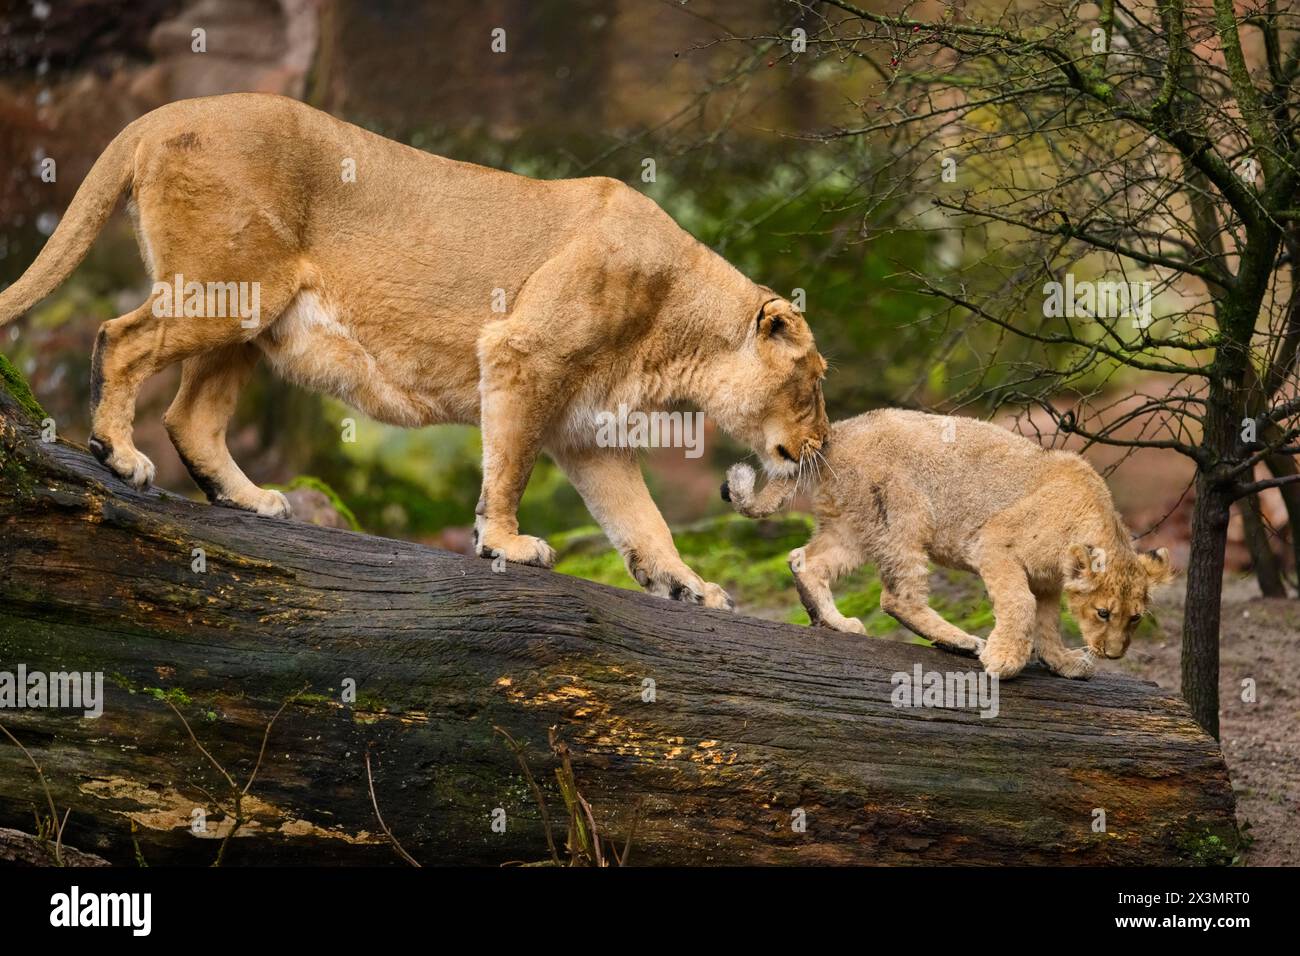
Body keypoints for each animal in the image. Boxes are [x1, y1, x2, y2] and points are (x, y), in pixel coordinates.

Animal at [0, 93, 830, 609]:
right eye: (814, 382)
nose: (823, 442)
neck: (678, 336)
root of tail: (166, 110)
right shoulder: (521, 355)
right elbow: (509, 469)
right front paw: (505, 544)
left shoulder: (588, 432)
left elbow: (642, 522)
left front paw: (689, 587)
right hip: (227, 290)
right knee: (121, 338)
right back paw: (118, 454)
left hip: (251, 317)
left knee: (192, 417)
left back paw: (251, 499)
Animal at [722, 409, 1174, 678]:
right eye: (1103, 613)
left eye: (1135, 618)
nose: (1113, 654)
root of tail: (836, 432)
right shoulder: (993, 544)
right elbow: (1020, 604)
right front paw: (1004, 659)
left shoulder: (1047, 582)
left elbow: (1047, 622)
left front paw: (1062, 661)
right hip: (904, 514)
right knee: (897, 597)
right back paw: (962, 642)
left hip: (852, 526)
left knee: (804, 559)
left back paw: (838, 623)